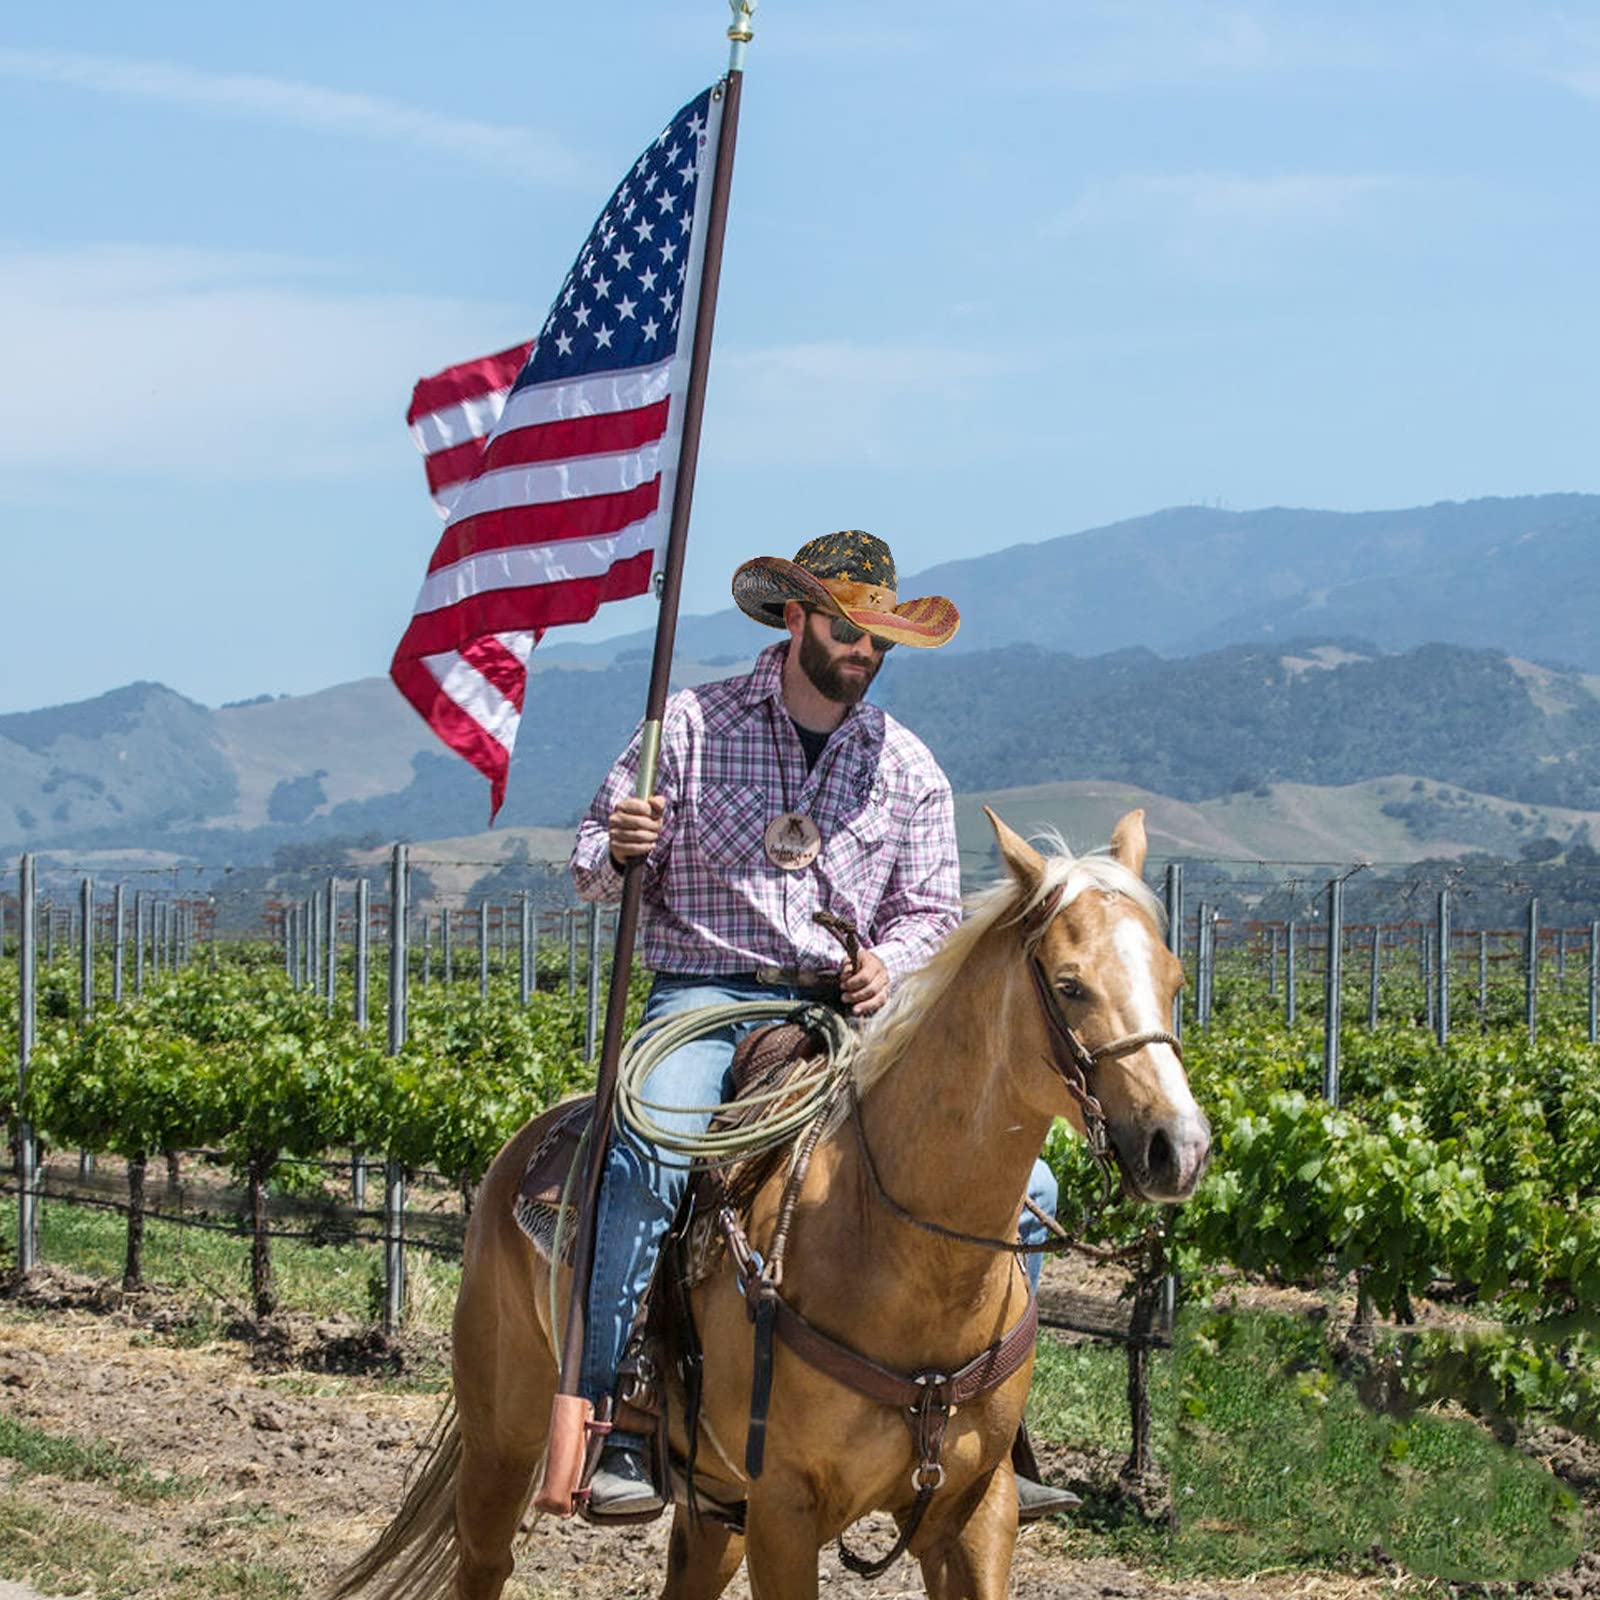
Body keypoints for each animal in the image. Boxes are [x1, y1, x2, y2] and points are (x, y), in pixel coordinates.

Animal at [337, 812, 1209, 1600]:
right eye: (1069, 985)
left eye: (1174, 980)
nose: (1181, 1146)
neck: (902, 1253)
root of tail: (528, 1140)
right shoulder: (784, 1513)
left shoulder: (975, 1512)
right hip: (505, 1434)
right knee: (484, 1561)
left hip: (710, 1508)